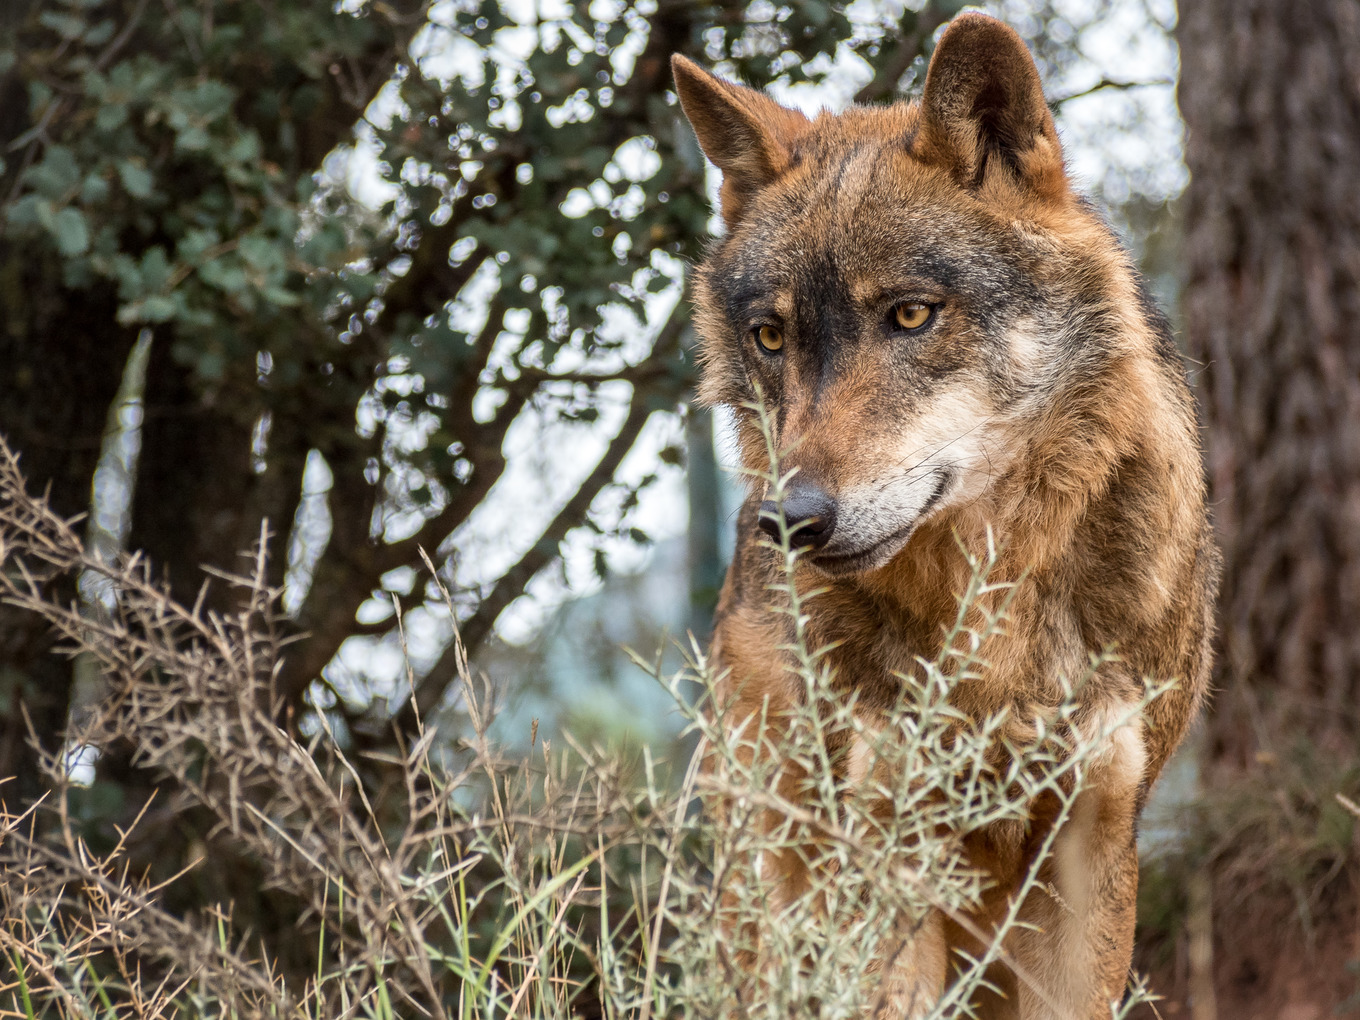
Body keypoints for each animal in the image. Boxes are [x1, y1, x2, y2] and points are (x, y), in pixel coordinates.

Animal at [672, 13, 1218, 1019]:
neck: (992, 615)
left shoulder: (1091, 848)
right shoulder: (888, 851)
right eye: (771, 337)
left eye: (912, 315)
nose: (793, 521)